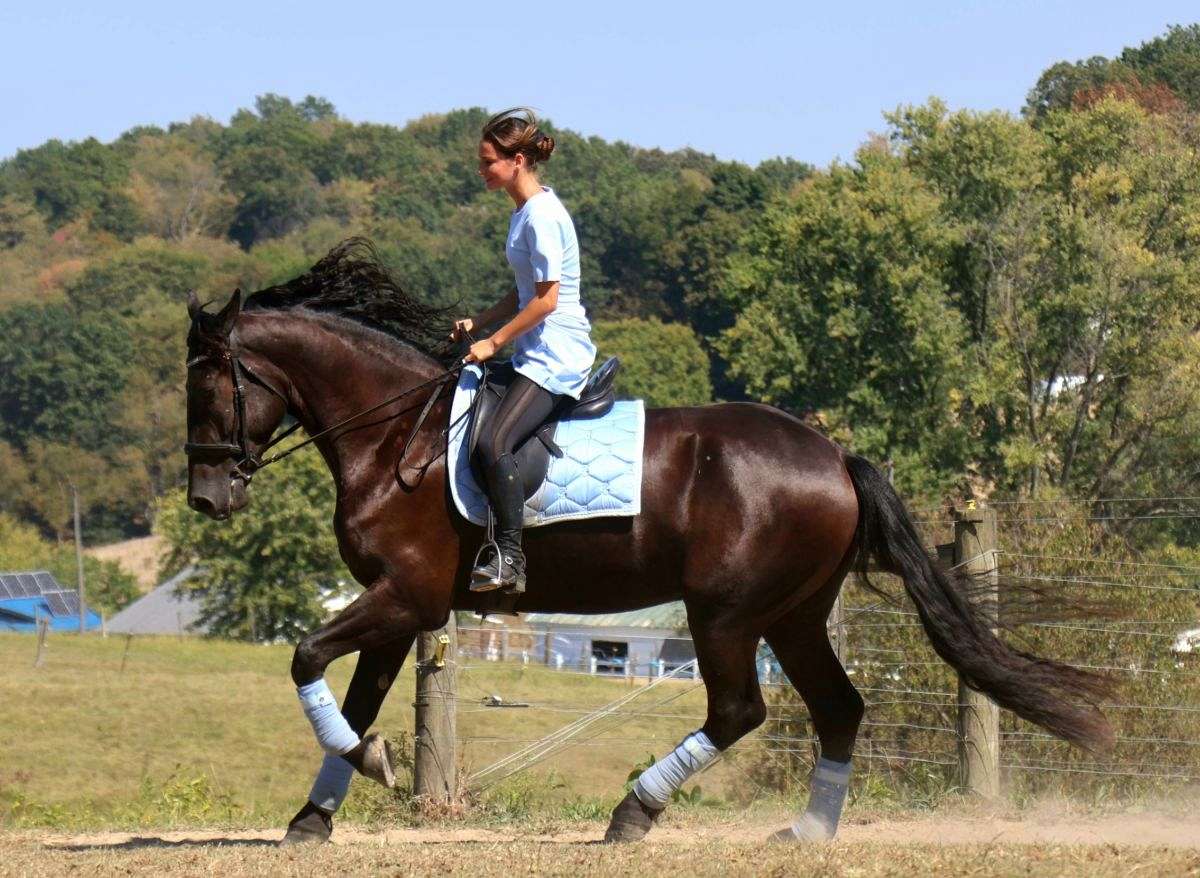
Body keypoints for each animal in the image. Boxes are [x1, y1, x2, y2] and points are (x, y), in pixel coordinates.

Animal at [183, 239, 1112, 845]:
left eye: (211, 389)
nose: (206, 496)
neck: (391, 438)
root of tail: (833, 456)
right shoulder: (402, 606)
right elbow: (358, 700)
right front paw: (319, 811)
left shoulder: (402, 596)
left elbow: (306, 658)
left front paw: (365, 770)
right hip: (794, 614)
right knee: (838, 707)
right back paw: (808, 833)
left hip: (727, 612)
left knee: (741, 710)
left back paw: (634, 813)